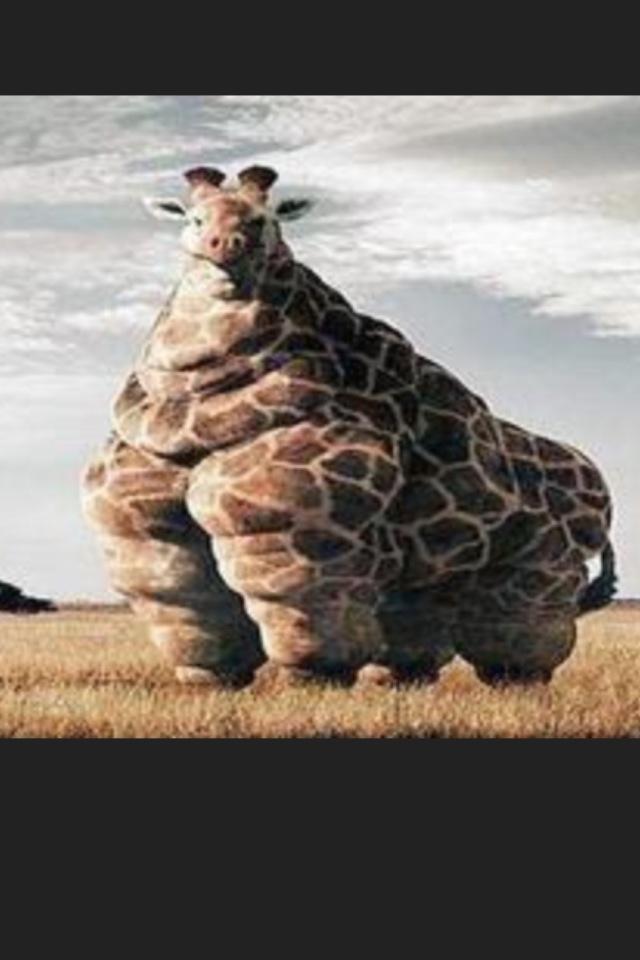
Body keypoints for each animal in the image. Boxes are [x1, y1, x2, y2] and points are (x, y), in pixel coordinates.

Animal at [81, 164, 616, 689]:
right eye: (194, 218)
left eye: (265, 219)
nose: (225, 245)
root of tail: (602, 493)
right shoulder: (141, 529)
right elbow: (191, 609)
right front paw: (210, 681)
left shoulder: (297, 527)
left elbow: (308, 622)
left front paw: (315, 682)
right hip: (442, 572)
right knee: (417, 634)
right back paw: (400, 678)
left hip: (539, 562)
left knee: (523, 636)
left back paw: (515, 678)